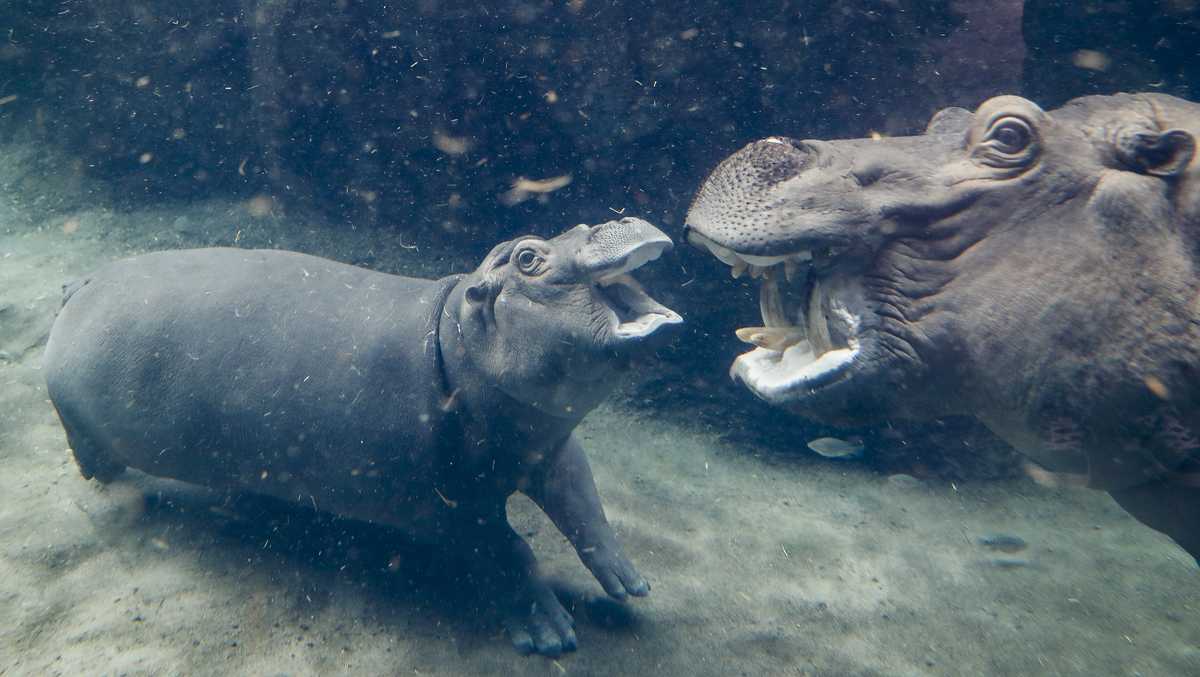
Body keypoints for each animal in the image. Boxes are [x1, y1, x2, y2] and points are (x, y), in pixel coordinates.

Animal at [42, 217, 682, 656]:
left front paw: (631, 585)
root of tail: (82, 282)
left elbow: (585, 506)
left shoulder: (553, 444)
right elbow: (508, 549)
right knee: (87, 450)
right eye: (528, 257)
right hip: (75, 414)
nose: (609, 220)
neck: (456, 334)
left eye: (572, 226)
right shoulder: (453, 504)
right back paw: (108, 481)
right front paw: (550, 635)